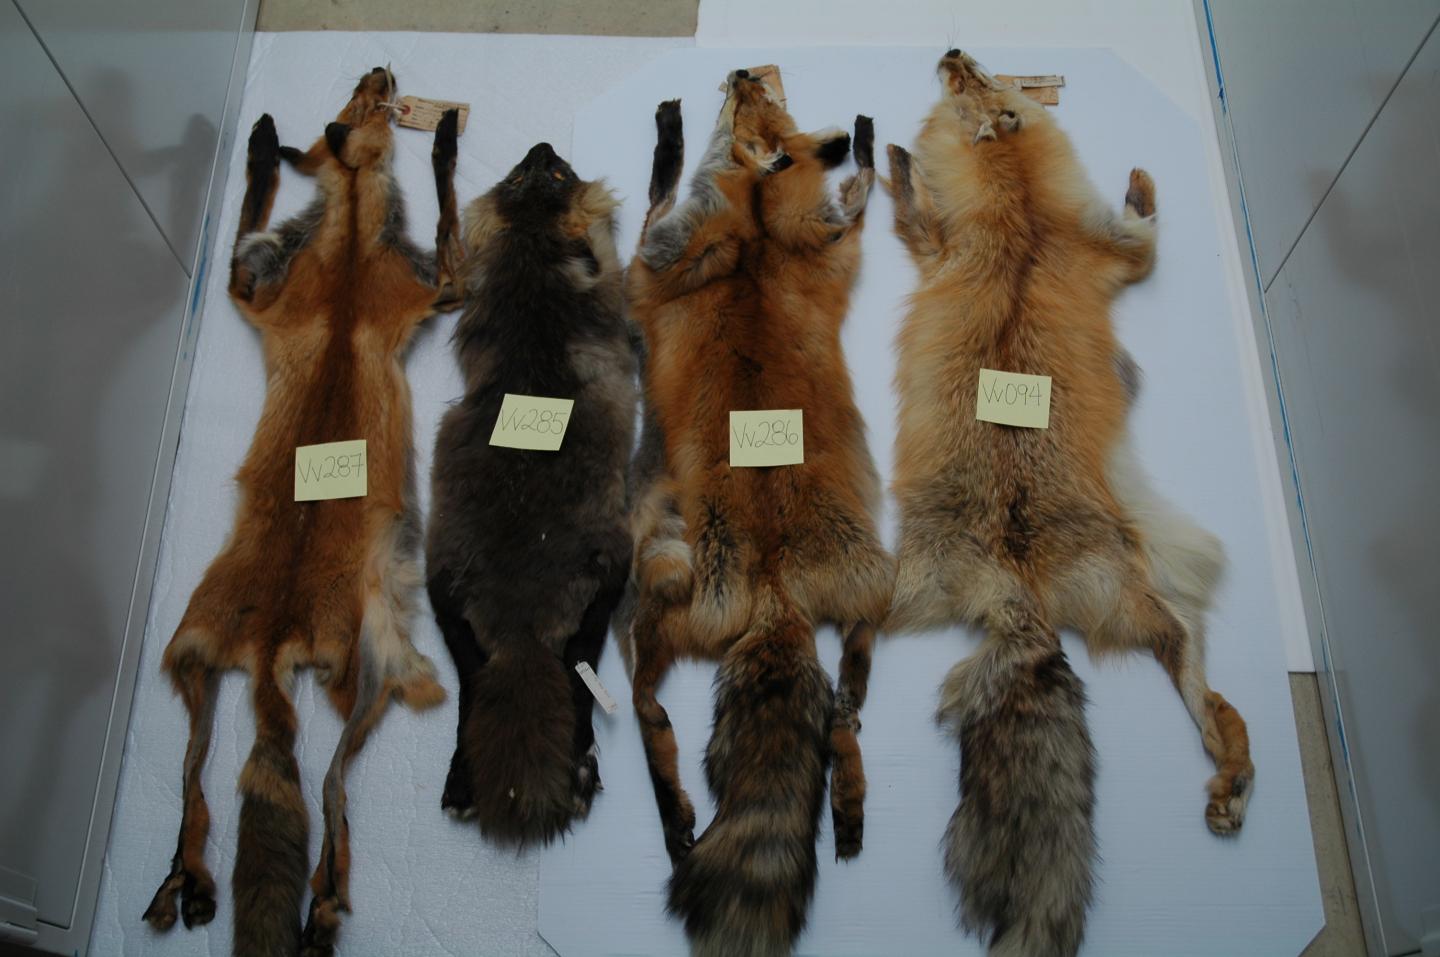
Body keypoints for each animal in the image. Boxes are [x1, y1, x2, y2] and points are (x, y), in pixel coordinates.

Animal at [142, 69, 458, 957]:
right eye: (369, 99)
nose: (384, 72)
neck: (346, 248)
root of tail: (271, 639)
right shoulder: (436, 288)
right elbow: (448, 211)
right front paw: (446, 141)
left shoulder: (251, 291)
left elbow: (245, 222)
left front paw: (260, 142)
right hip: (370, 670)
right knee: (328, 789)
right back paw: (322, 903)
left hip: (189, 651)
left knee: (195, 774)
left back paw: (191, 882)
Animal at [424, 140, 636, 844]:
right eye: (538, 172)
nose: (543, 147)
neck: (535, 256)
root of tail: (521, 636)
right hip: (612, 573)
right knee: (577, 673)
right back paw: (579, 770)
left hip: (441, 588)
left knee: (471, 682)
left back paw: (461, 781)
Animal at [619, 71, 895, 956]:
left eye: (758, 105)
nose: (742, 72)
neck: (750, 239)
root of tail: (775, 589)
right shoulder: (819, 240)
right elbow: (851, 203)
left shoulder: (654, 253)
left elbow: (660, 190)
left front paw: (670, 139)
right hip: (874, 577)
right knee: (846, 704)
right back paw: (846, 802)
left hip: (661, 587)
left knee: (642, 698)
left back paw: (675, 810)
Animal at [883, 50, 1255, 956]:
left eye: (974, 77)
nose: (949, 51)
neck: (1020, 211)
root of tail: (1018, 589)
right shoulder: (955, 246)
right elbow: (915, 209)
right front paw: (894, 161)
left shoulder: (1099, 251)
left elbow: (1144, 227)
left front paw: (1141, 179)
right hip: (1128, 587)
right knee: (1195, 666)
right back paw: (1231, 776)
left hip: (1131, 583)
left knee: (1197, 673)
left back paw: (1230, 774)